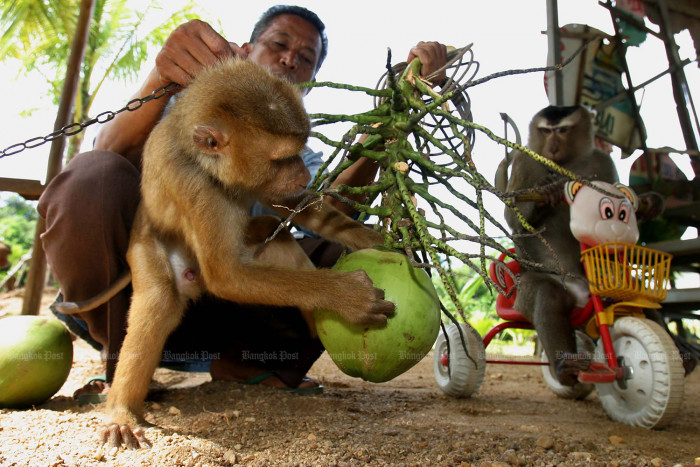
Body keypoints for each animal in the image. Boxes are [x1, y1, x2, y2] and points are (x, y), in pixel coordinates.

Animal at [501, 105, 618, 387]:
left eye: (563, 130)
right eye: (546, 131)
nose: (553, 147)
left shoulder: (602, 162)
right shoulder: (524, 161)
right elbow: (511, 215)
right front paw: (546, 195)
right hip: (525, 293)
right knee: (548, 294)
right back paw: (565, 367)